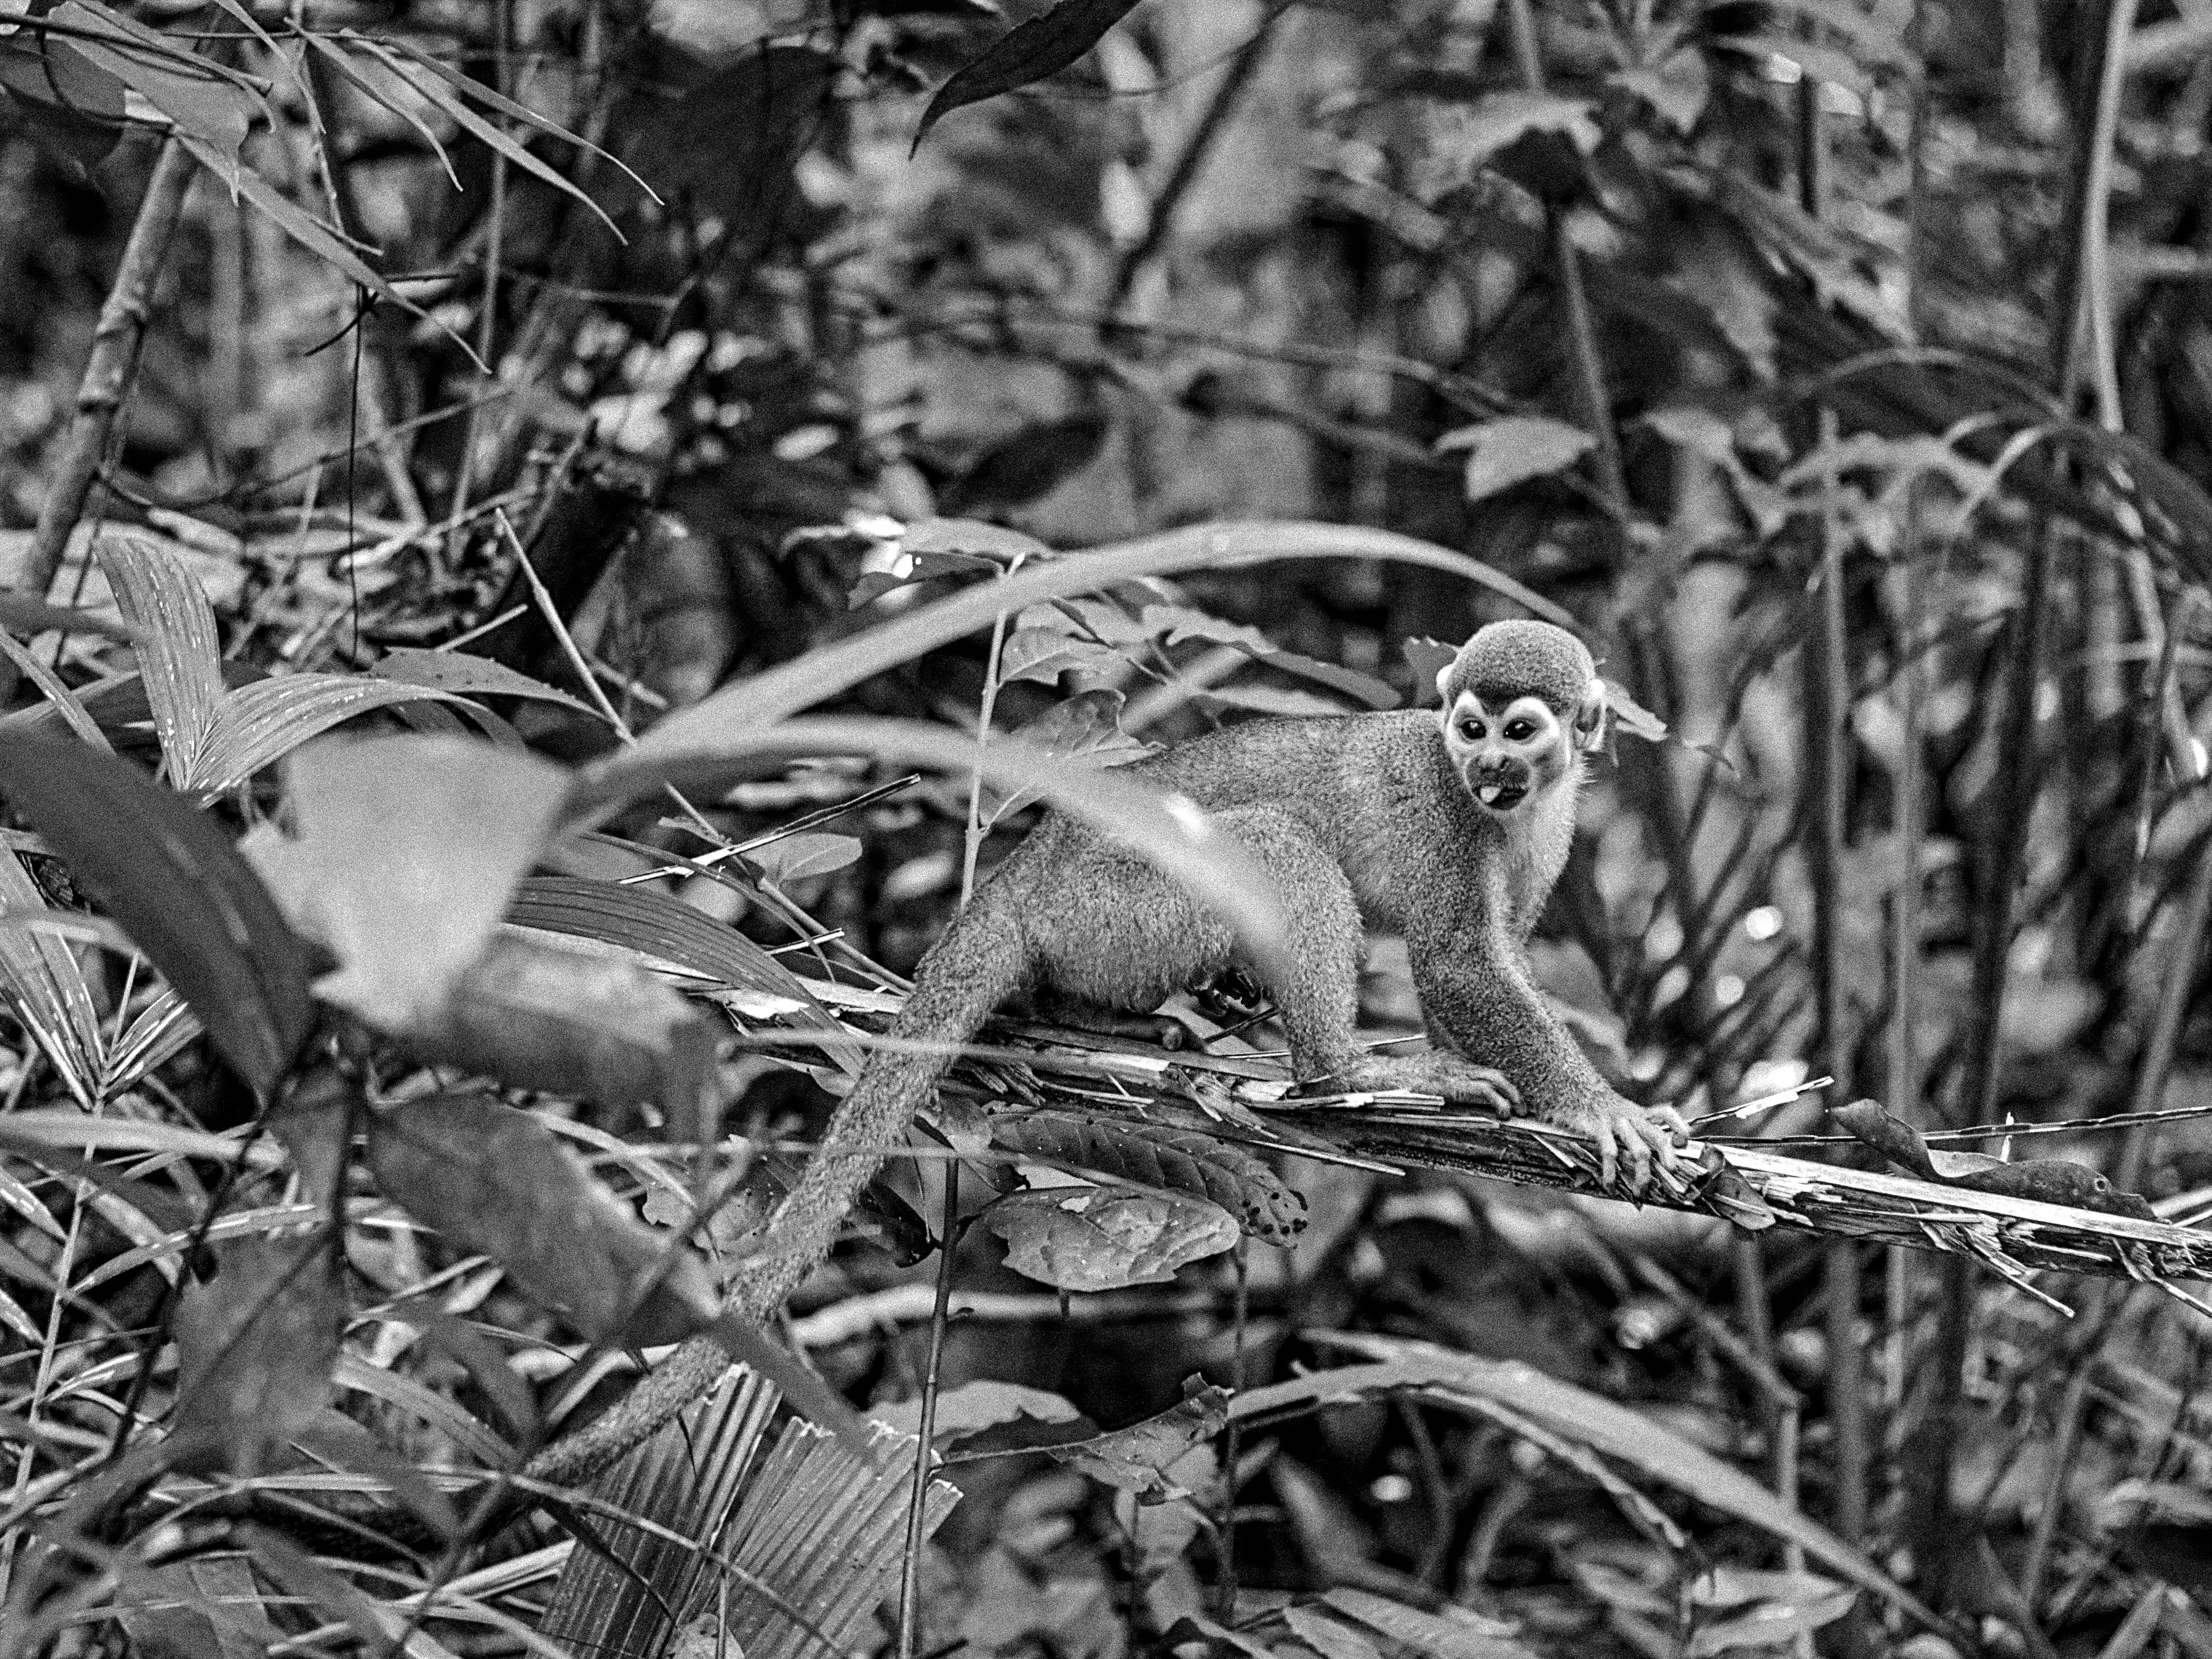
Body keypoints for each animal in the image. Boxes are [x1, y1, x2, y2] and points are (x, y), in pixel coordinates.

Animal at [726, 619, 1691, 1320]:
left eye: (1518, 731)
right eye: (1471, 729)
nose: (1489, 763)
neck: (1509, 809)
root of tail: (1019, 877)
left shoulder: (1547, 830)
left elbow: (1484, 966)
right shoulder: (1446, 811)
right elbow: (1457, 965)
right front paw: (1600, 1110)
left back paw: (1076, 1020)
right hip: (1116, 905)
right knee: (1276, 842)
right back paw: (1338, 1070)